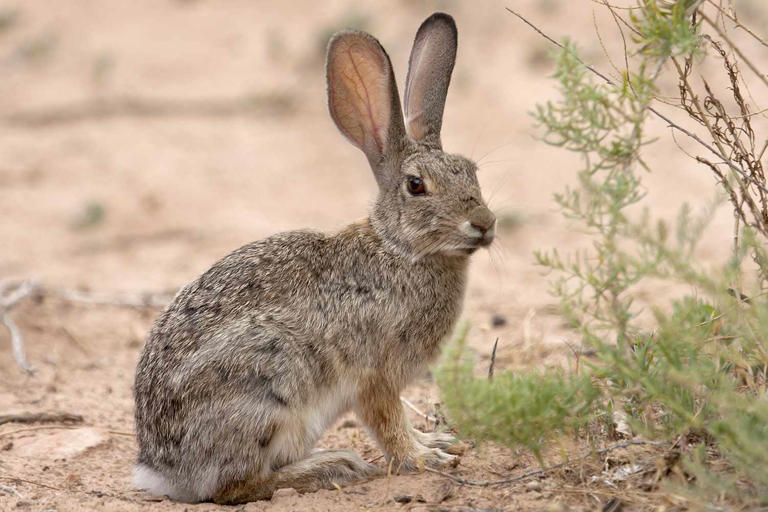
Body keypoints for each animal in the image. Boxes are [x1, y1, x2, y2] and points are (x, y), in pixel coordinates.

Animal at [133, 12, 496, 504]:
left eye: (471, 172)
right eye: (416, 185)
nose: (485, 222)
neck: (398, 249)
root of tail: (163, 470)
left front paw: (435, 441)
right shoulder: (377, 374)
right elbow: (388, 423)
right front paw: (424, 458)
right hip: (269, 387)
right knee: (237, 485)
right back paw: (333, 466)